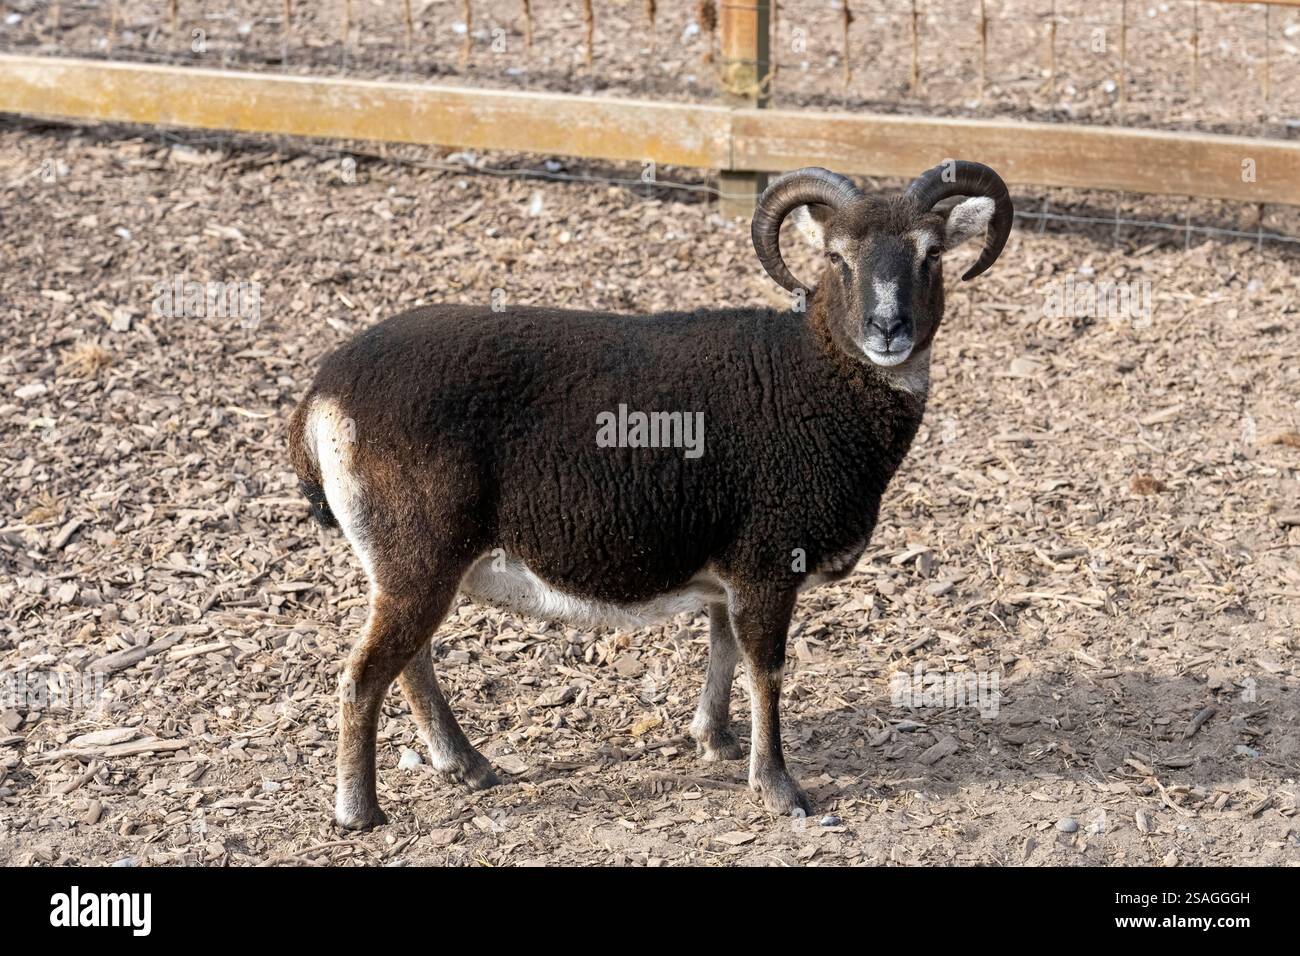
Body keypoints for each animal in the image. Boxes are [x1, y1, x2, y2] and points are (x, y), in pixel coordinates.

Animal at [290, 161, 1014, 829]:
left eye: (931, 253)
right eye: (838, 256)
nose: (888, 328)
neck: (812, 377)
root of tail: (323, 396)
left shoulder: (730, 571)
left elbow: (723, 648)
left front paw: (716, 742)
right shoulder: (768, 567)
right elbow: (767, 669)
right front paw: (780, 789)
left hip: (413, 566)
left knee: (409, 662)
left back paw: (467, 766)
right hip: (418, 558)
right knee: (364, 676)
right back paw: (360, 812)